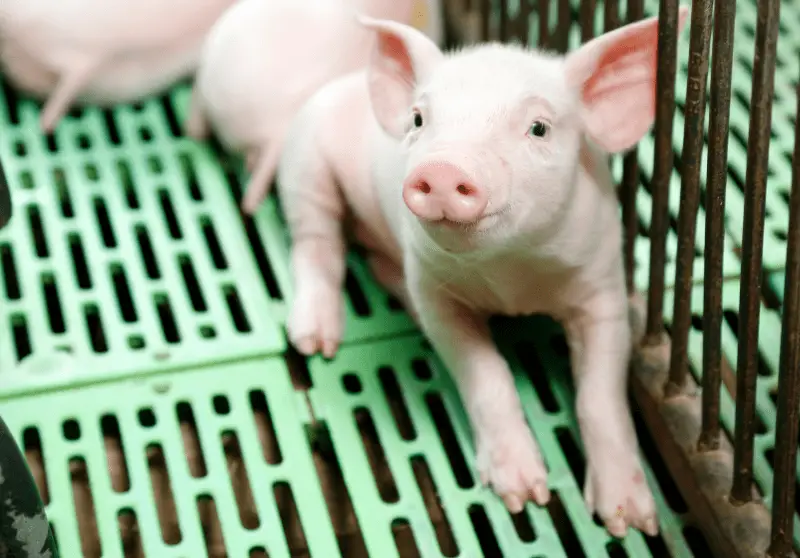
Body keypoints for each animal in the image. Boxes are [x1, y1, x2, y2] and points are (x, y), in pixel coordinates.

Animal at [277, 10, 690, 537]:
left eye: (539, 128)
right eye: (418, 119)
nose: (443, 168)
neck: (511, 274)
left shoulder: (604, 287)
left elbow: (601, 396)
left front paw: (631, 522)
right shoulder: (435, 294)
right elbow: (487, 374)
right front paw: (524, 497)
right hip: (304, 168)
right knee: (316, 245)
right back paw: (315, 341)